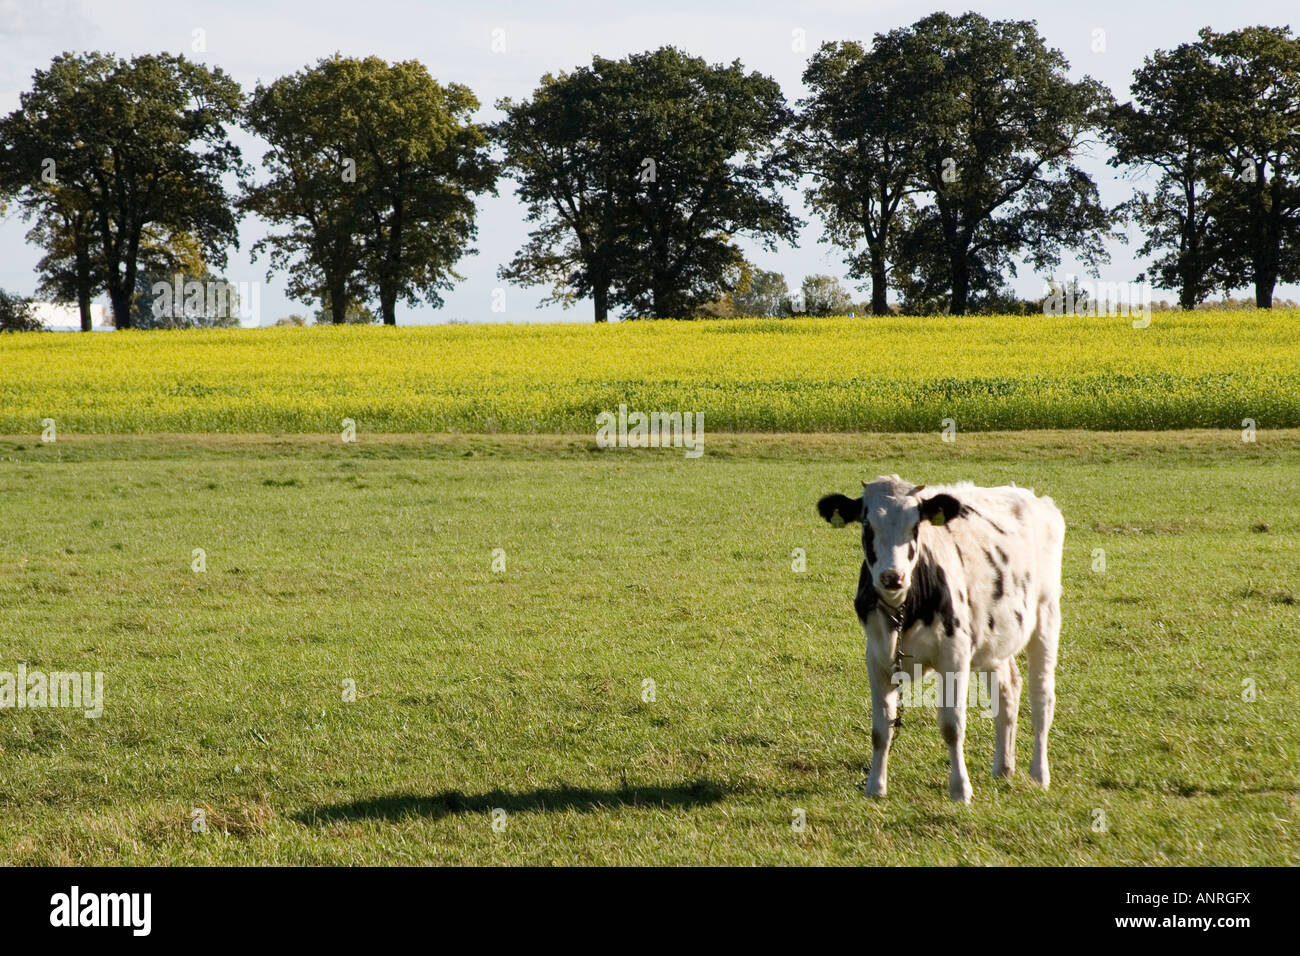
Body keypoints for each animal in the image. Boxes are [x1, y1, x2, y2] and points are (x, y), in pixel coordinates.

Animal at [817, 475, 1064, 804]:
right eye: (867, 525)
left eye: (916, 525)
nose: (892, 576)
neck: (905, 610)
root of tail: (1033, 497)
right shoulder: (877, 658)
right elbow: (881, 729)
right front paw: (875, 786)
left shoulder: (955, 655)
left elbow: (952, 725)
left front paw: (960, 789)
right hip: (995, 638)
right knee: (1008, 691)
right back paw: (1003, 767)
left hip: (1046, 617)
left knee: (1041, 697)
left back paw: (1039, 773)